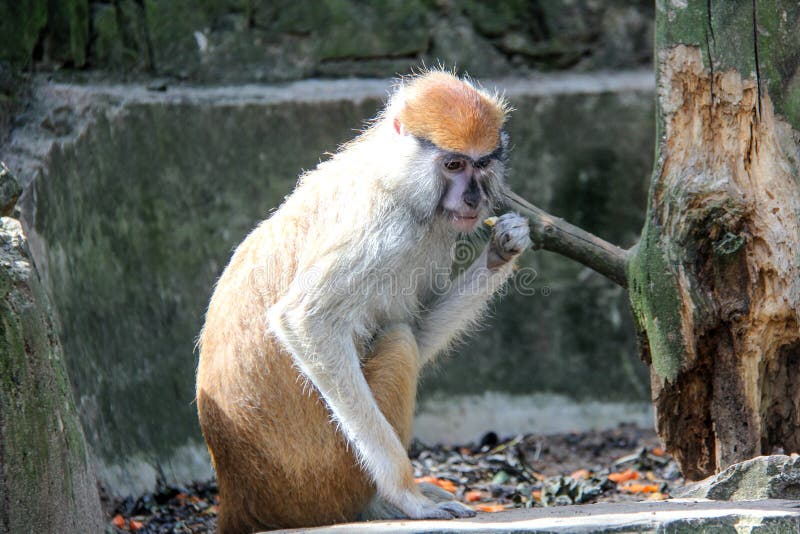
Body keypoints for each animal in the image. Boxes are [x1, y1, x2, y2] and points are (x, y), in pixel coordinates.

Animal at [196, 70, 532, 533]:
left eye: (481, 164)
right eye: (453, 165)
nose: (473, 198)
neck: (396, 175)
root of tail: (240, 495)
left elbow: (418, 328)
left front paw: (504, 246)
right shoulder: (384, 229)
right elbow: (307, 322)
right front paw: (408, 495)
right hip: (330, 479)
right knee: (399, 345)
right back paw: (382, 503)